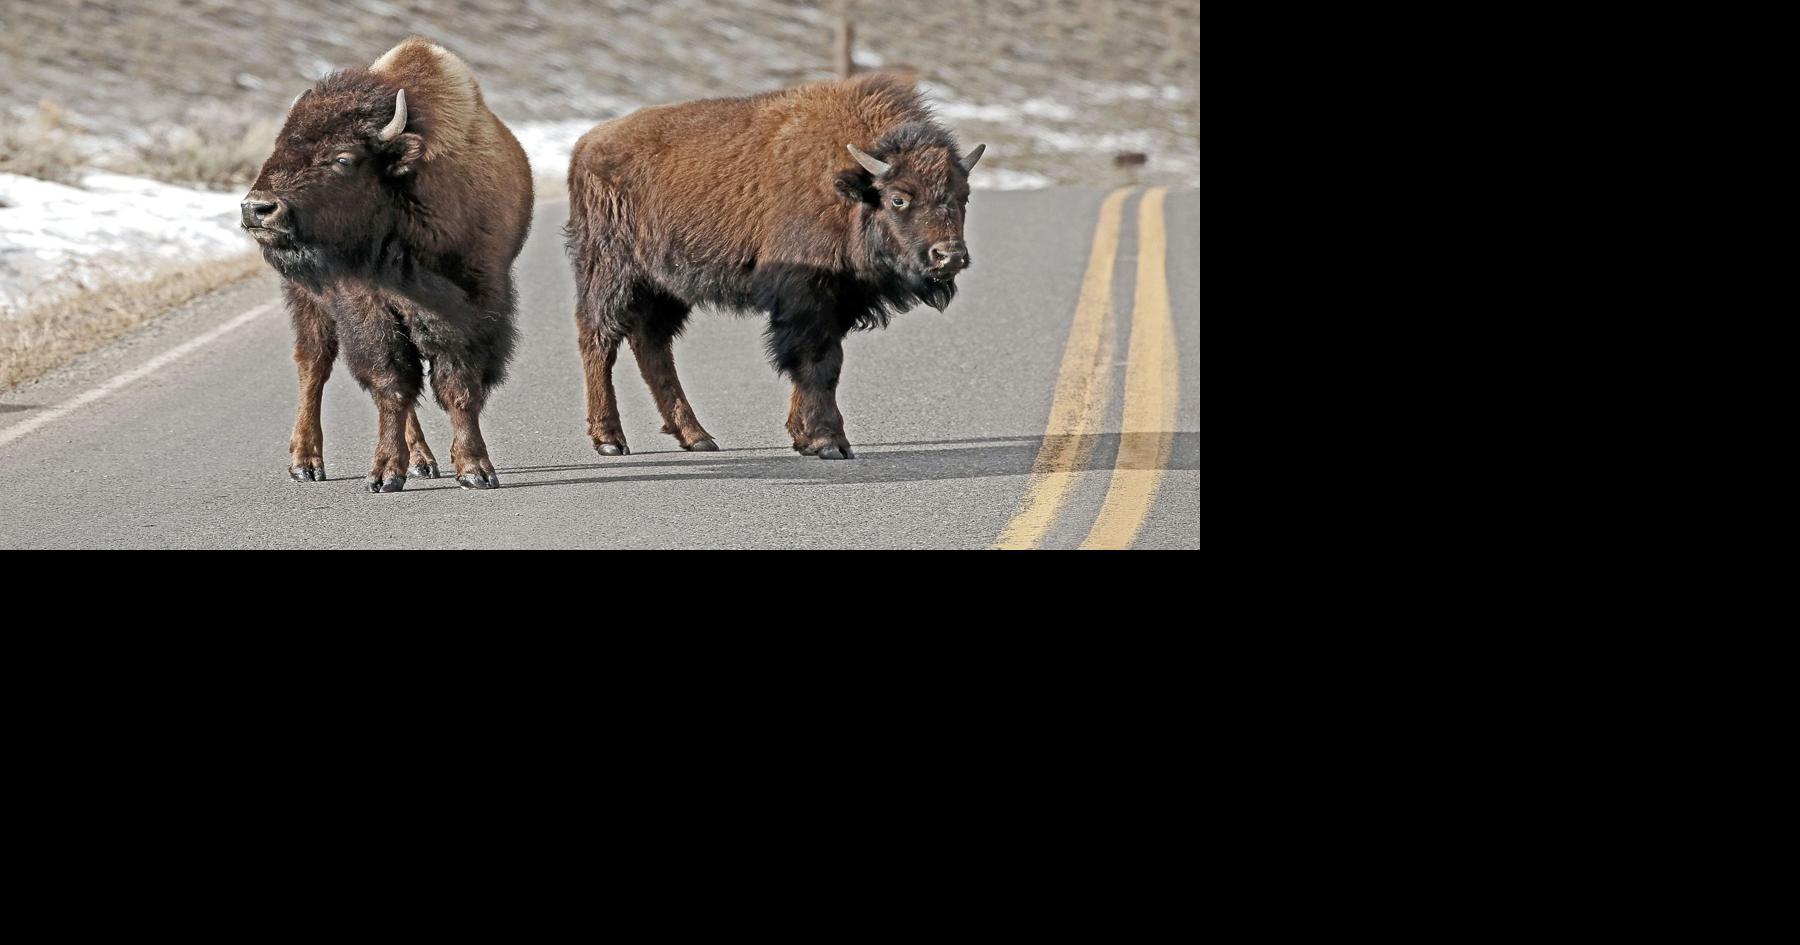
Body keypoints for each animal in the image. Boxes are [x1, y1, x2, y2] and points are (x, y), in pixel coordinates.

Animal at [241, 38, 532, 491]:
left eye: (343, 159)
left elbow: (459, 387)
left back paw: (423, 461)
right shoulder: (366, 307)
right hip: (309, 301)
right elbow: (391, 384)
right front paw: (384, 474)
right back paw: (306, 463)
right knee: (314, 366)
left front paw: (475, 469)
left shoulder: (479, 306)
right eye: (281, 143)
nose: (257, 209)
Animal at [564, 73, 984, 460]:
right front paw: (829, 442)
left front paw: (805, 439)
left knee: (651, 346)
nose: (949, 255)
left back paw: (697, 436)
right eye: (898, 198)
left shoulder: (839, 301)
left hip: (664, 287)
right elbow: (819, 362)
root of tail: (587, 144)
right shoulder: (807, 297)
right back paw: (610, 440)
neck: (848, 183)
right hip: (611, 274)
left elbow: (819, 365)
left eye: (963, 195)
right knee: (598, 340)